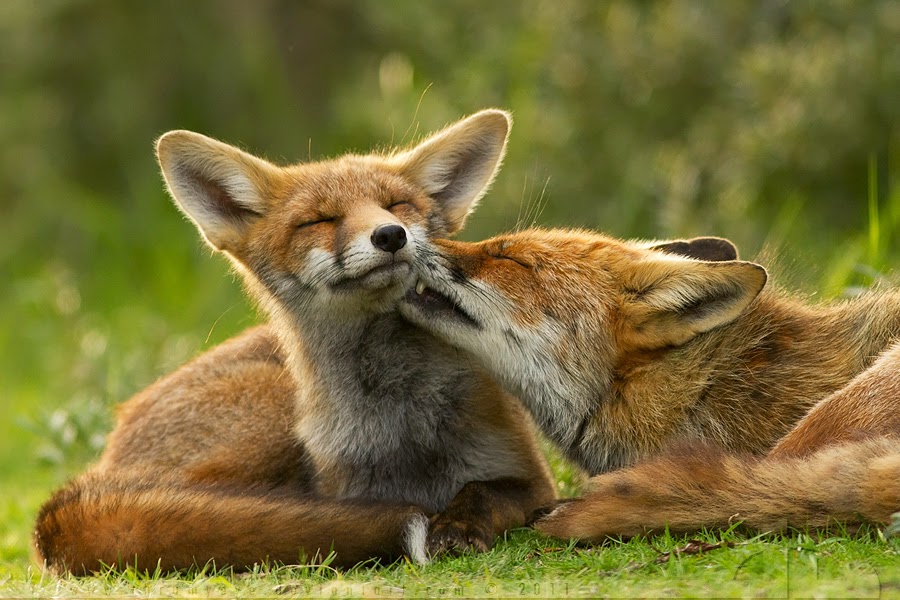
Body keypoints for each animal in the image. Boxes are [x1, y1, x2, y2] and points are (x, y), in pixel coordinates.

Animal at [32, 111, 556, 575]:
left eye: (396, 205)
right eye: (319, 221)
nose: (391, 235)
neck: (398, 420)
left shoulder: (530, 479)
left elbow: (483, 492)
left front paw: (458, 525)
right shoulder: (345, 487)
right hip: (271, 412)